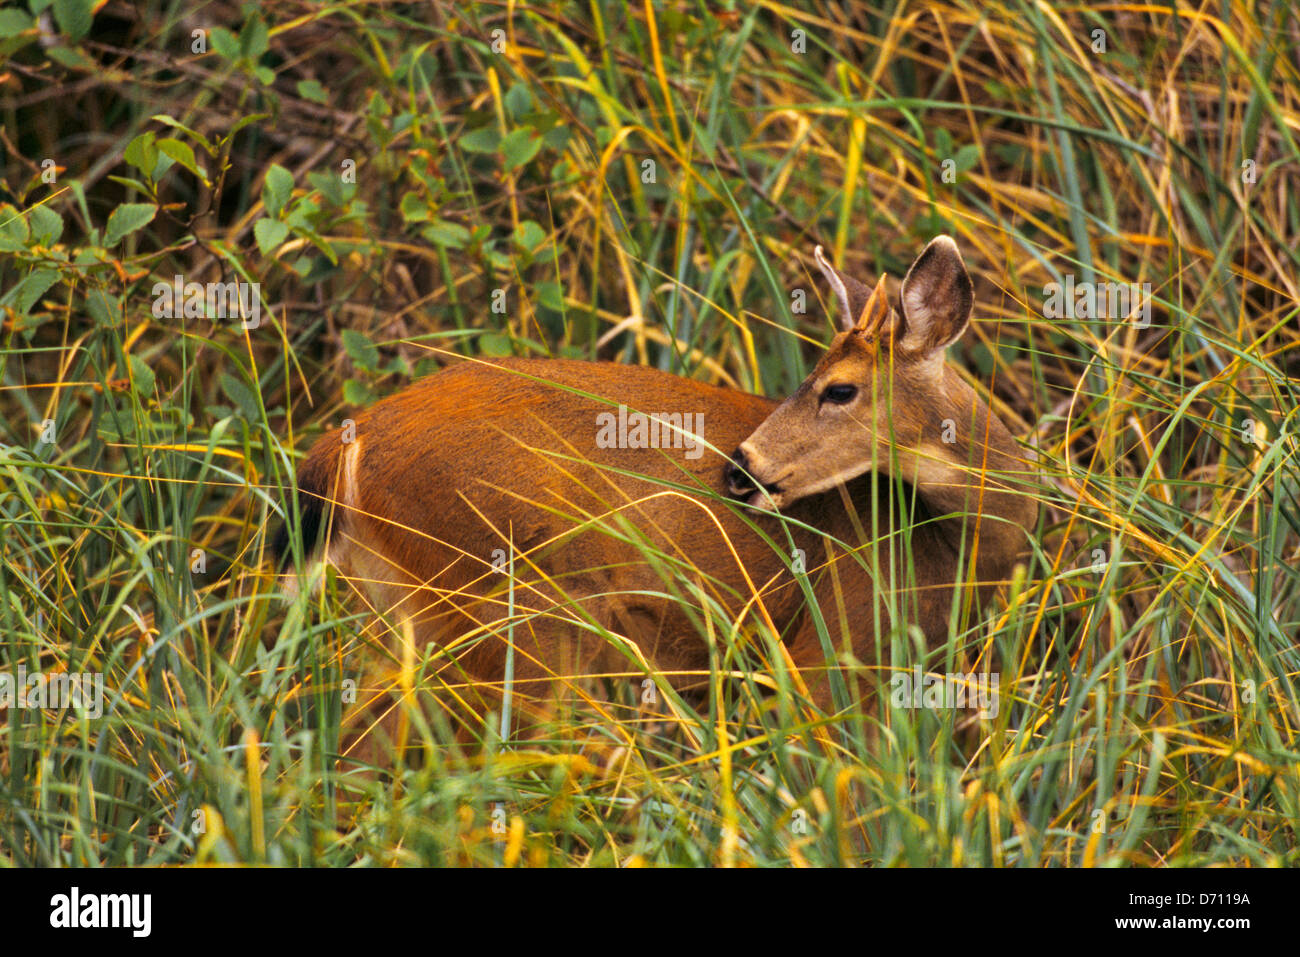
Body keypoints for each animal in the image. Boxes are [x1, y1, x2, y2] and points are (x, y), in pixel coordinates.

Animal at [272, 236, 1038, 764]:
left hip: (418, 615)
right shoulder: (830, 648)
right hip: (516, 610)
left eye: (839, 387)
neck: (952, 553)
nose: (740, 469)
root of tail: (344, 446)